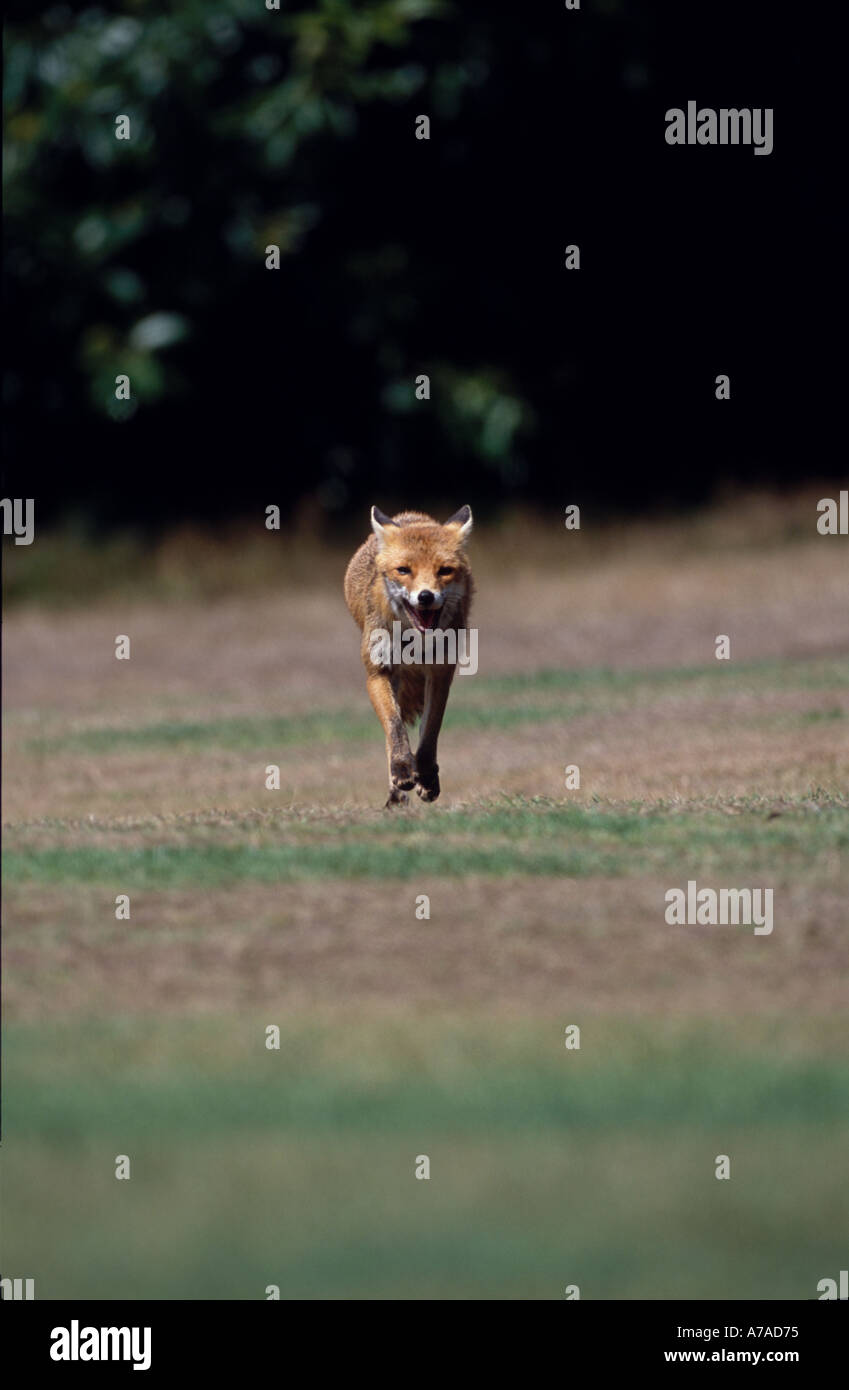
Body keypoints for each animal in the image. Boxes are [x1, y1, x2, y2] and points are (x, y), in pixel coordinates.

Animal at [344, 505, 475, 807]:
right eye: (403, 570)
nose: (426, 596)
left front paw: (426, 776)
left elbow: (429, 733)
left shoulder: (440, 674)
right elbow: (394, 728)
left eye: (445, 571)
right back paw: (395, 792)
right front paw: (403, 769)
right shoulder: (378, 673)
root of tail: (410, 515)